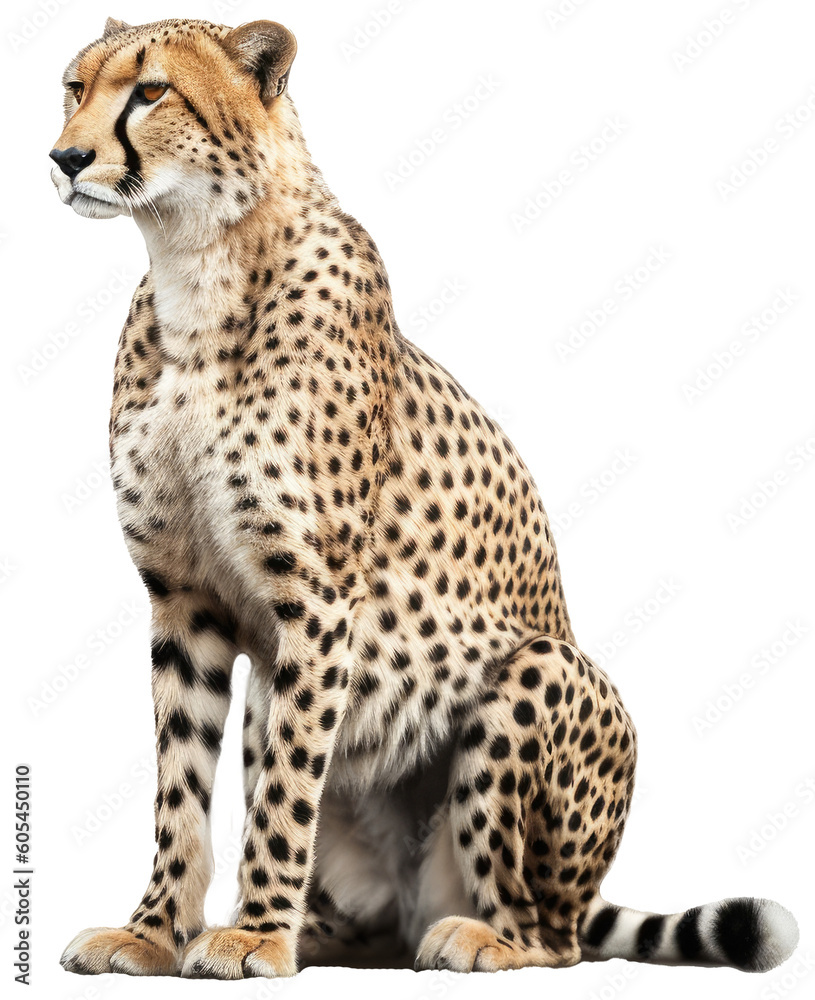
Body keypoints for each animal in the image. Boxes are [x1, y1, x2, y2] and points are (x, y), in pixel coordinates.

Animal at [50, 16, 799, 980]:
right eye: (74, 88)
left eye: (151, 92)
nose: (65, 157)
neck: (195, 264)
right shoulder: (184, 597)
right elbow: (179, 786)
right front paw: (152, 932)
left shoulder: (317, 596)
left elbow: (288, 783)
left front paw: (253, 935)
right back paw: (320, 933)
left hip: (537, 671)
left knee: (554, 937)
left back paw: (475, 936)